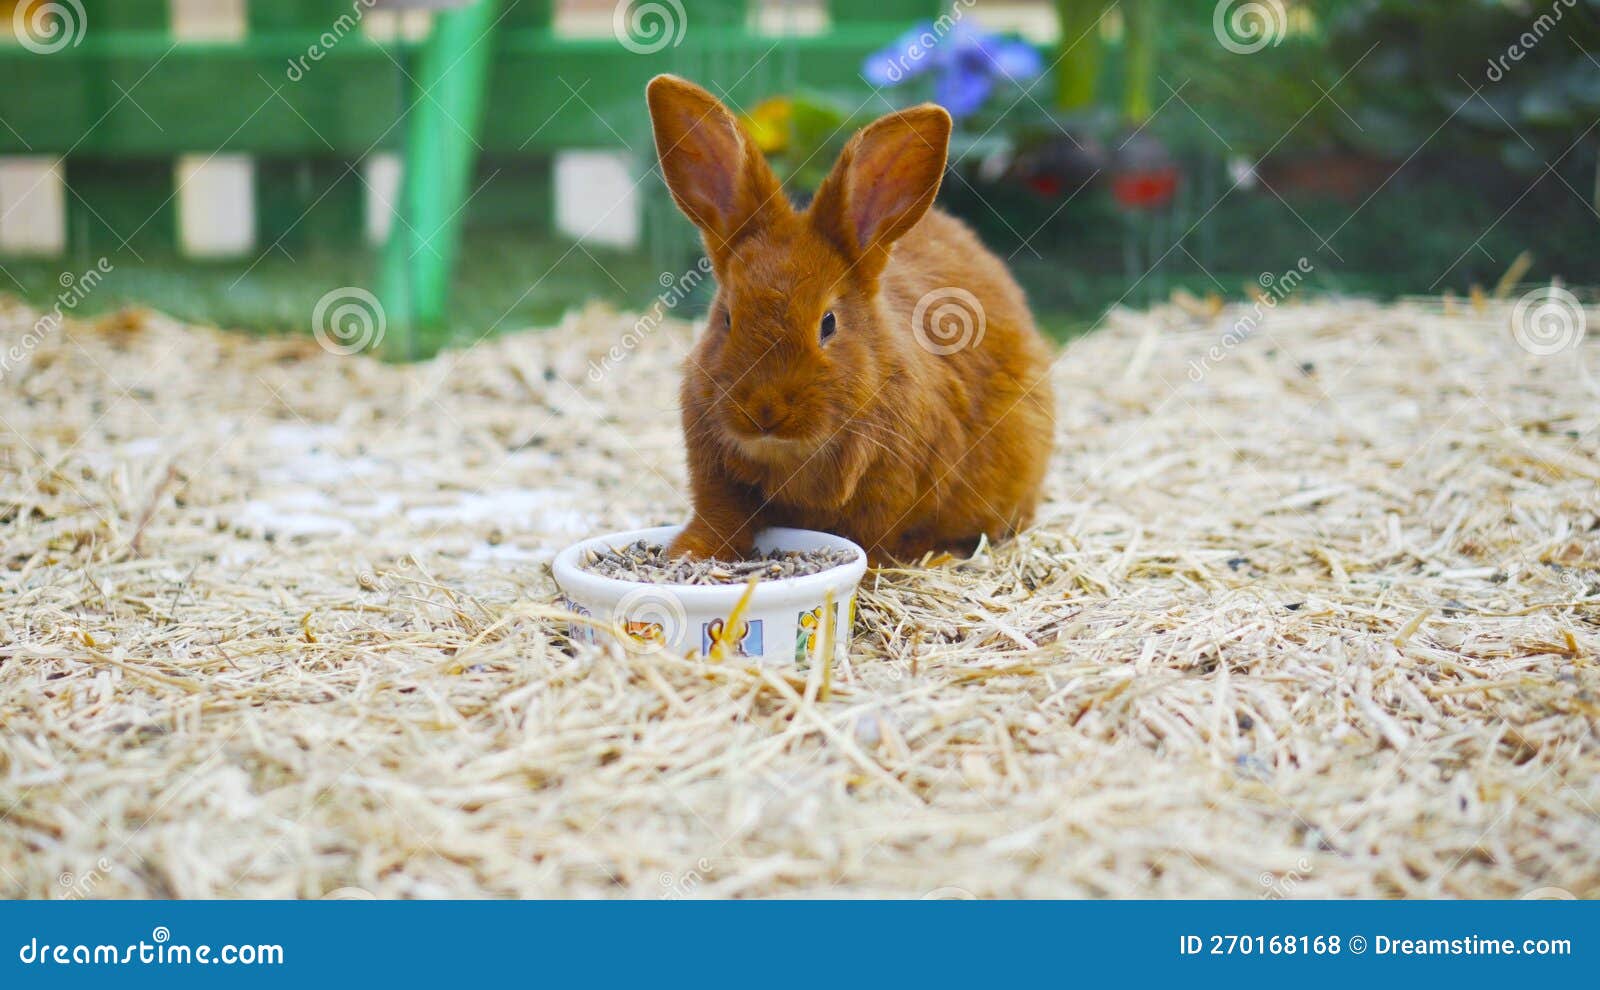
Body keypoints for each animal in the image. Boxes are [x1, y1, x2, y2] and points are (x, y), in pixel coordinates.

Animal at [646, 75, 1055, 566]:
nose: (765, 410)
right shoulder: (715, 477)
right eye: (727, 317)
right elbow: (720, 518)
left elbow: (871, 537)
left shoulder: (891, 489)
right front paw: (687, 553)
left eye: (828, 323)